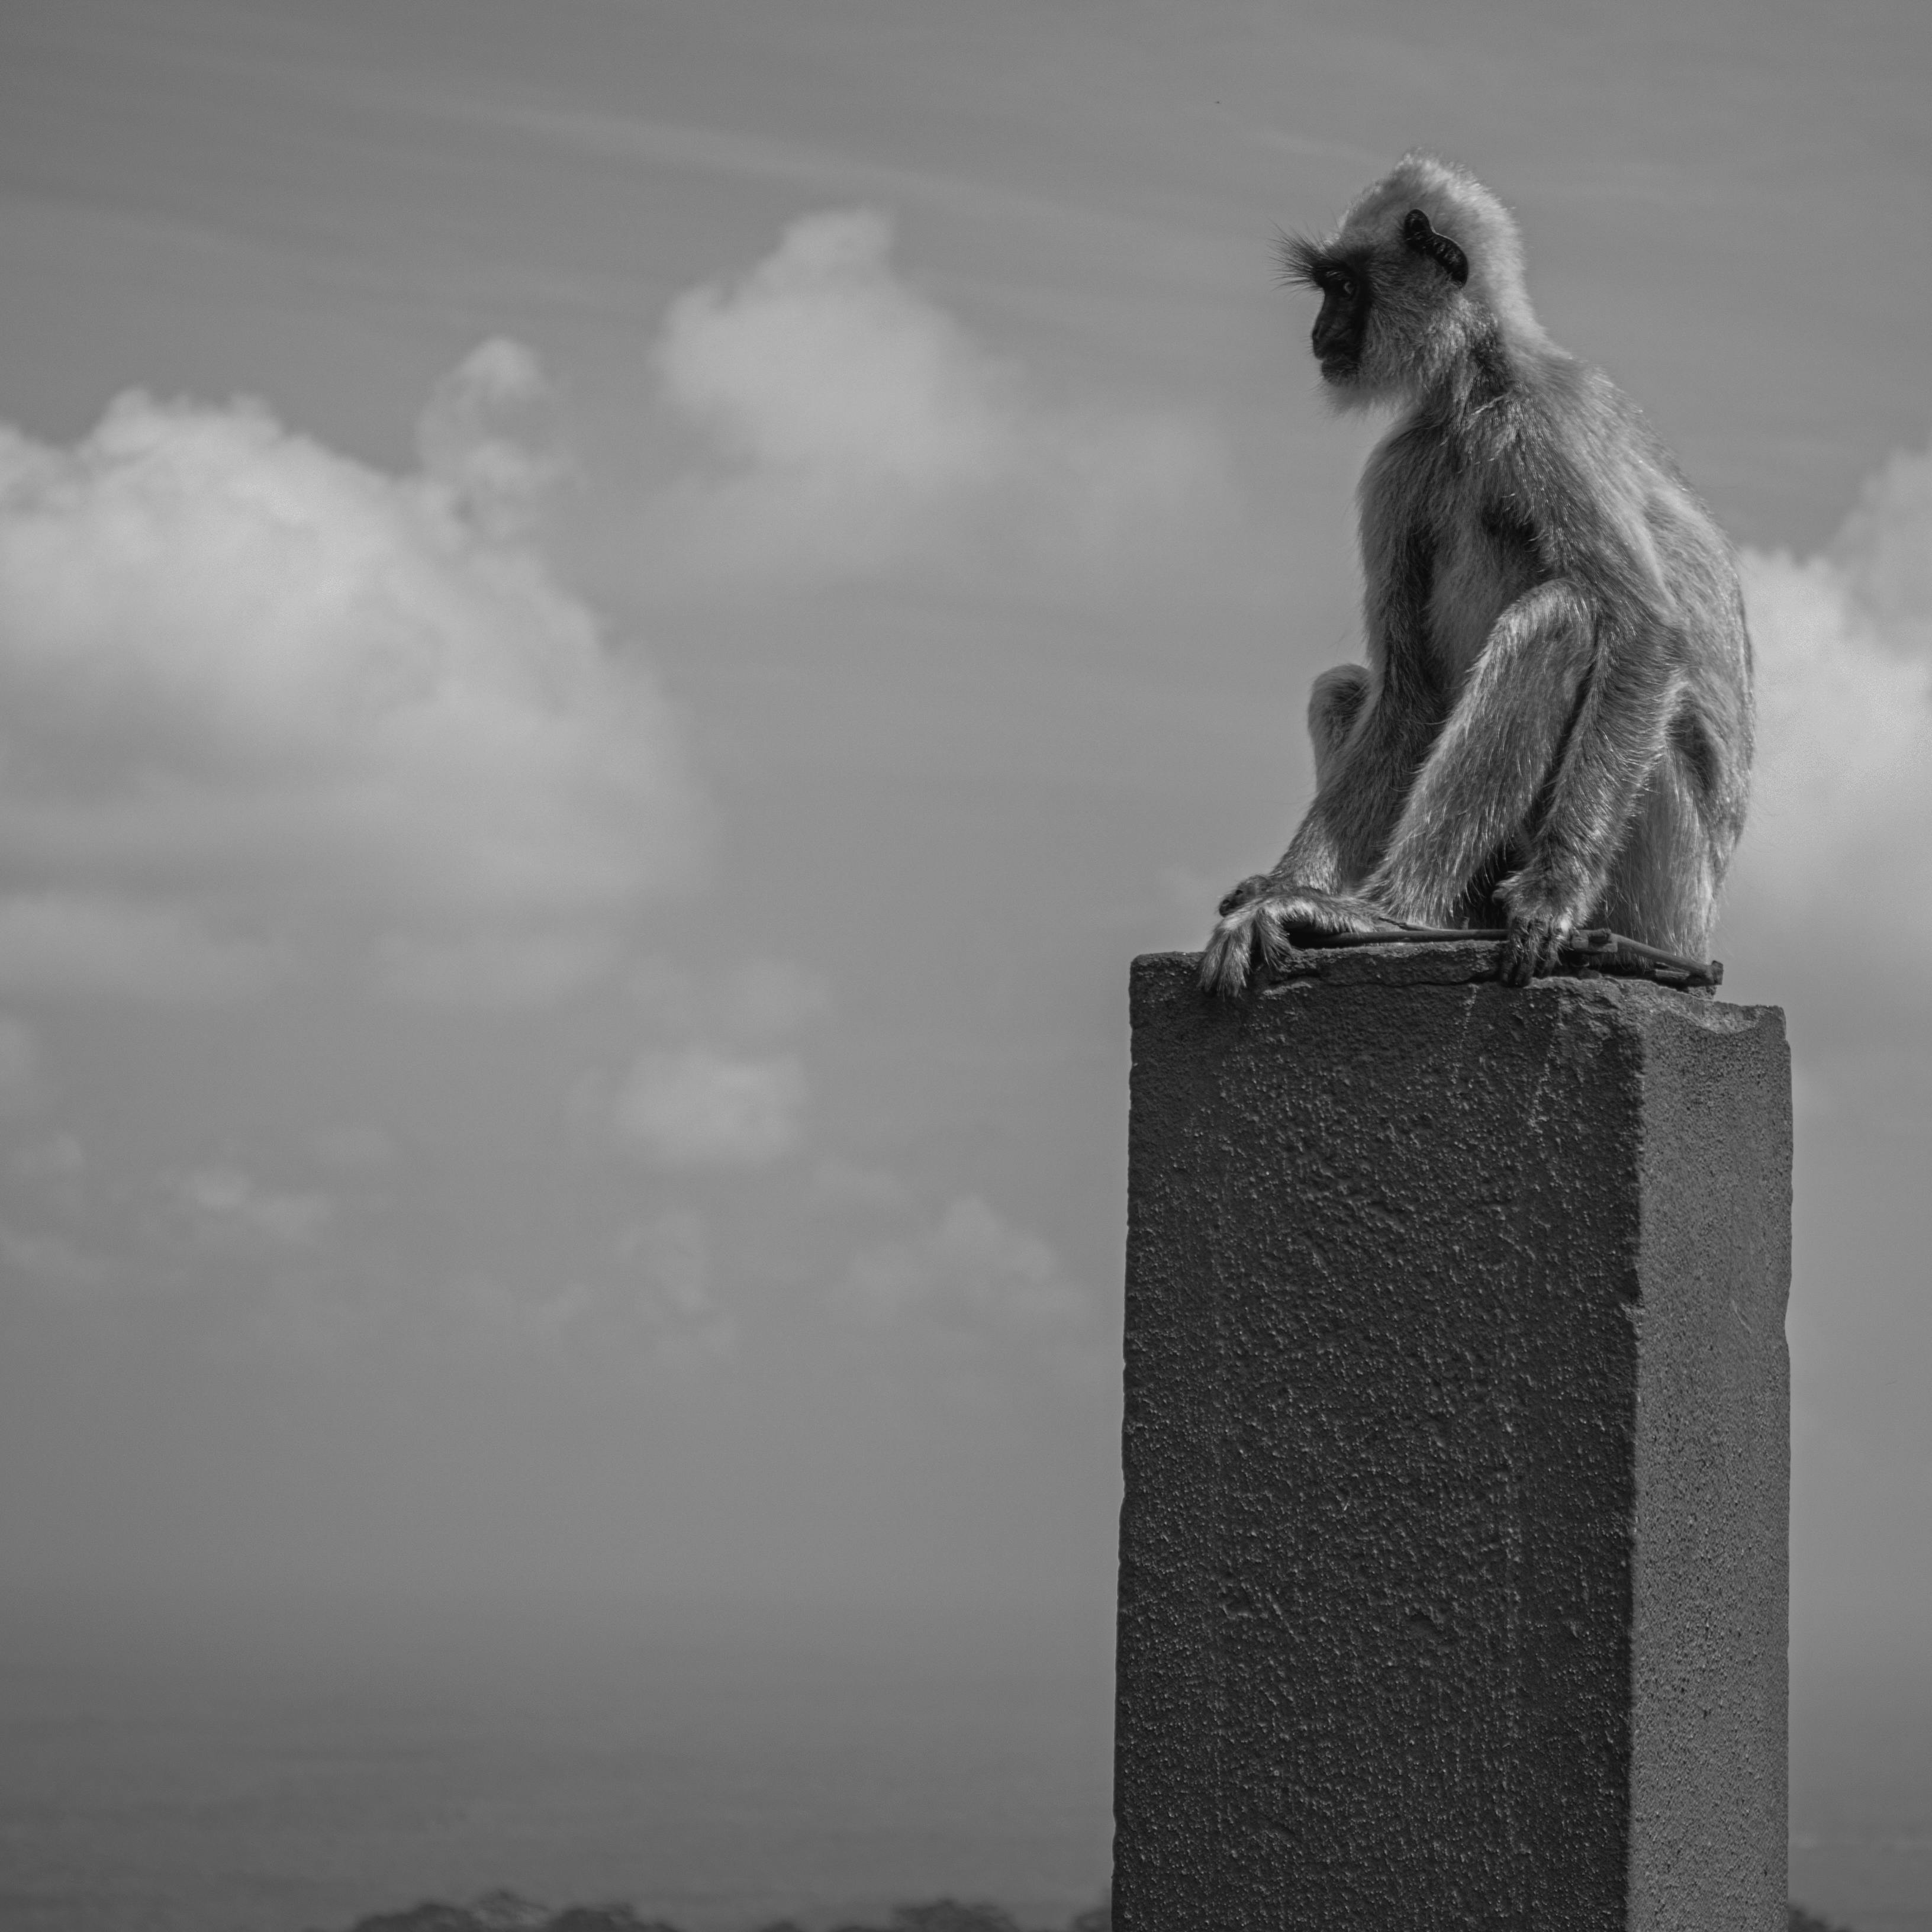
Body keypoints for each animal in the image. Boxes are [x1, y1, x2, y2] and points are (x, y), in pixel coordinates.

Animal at [1200, 154, 1752, 996]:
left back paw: (1396, 913)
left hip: (1661, 872)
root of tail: (1700, 930)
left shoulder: (1550, 414)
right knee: (1348, 687)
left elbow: (1647, 630)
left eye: (1344, 288)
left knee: (1565, 615)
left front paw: (1548, 896)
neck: (1476, 393)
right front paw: (1280, 886)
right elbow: (1409, 691)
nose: (1321, 334)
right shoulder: (1402, 464)